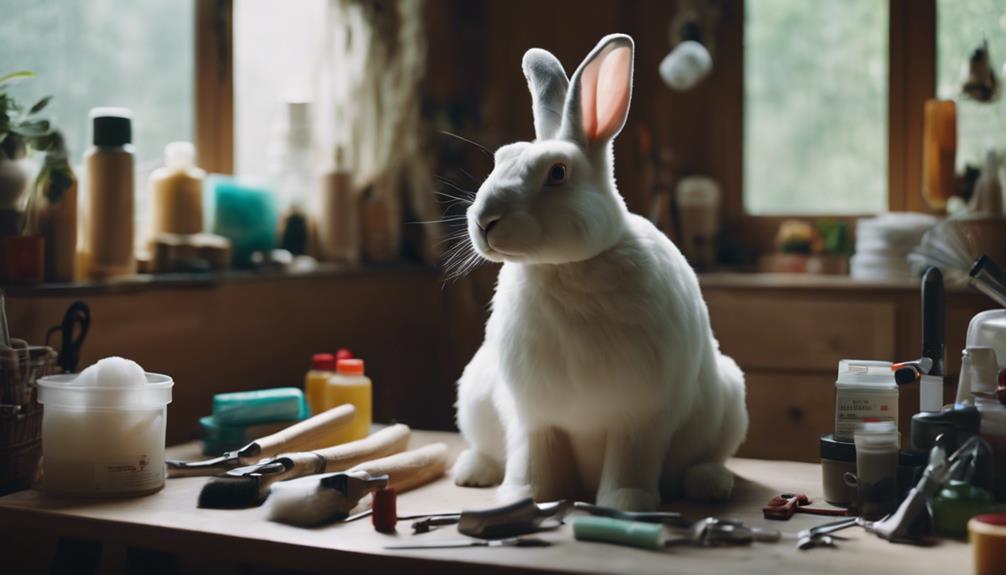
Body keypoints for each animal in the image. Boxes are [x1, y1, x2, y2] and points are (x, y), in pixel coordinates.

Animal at [452, 34, 748, 511]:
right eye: (499, 159)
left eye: (557, 173)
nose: (483, 221)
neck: (562, 266)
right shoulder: (535, 416)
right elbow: (533, 458)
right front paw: (521, 497)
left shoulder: (640, 416)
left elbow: (629, 461)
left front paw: (627, 504)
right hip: (473, 394)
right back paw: (472, 472)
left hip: (729, 401)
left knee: (709, 457)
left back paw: (709, 483)